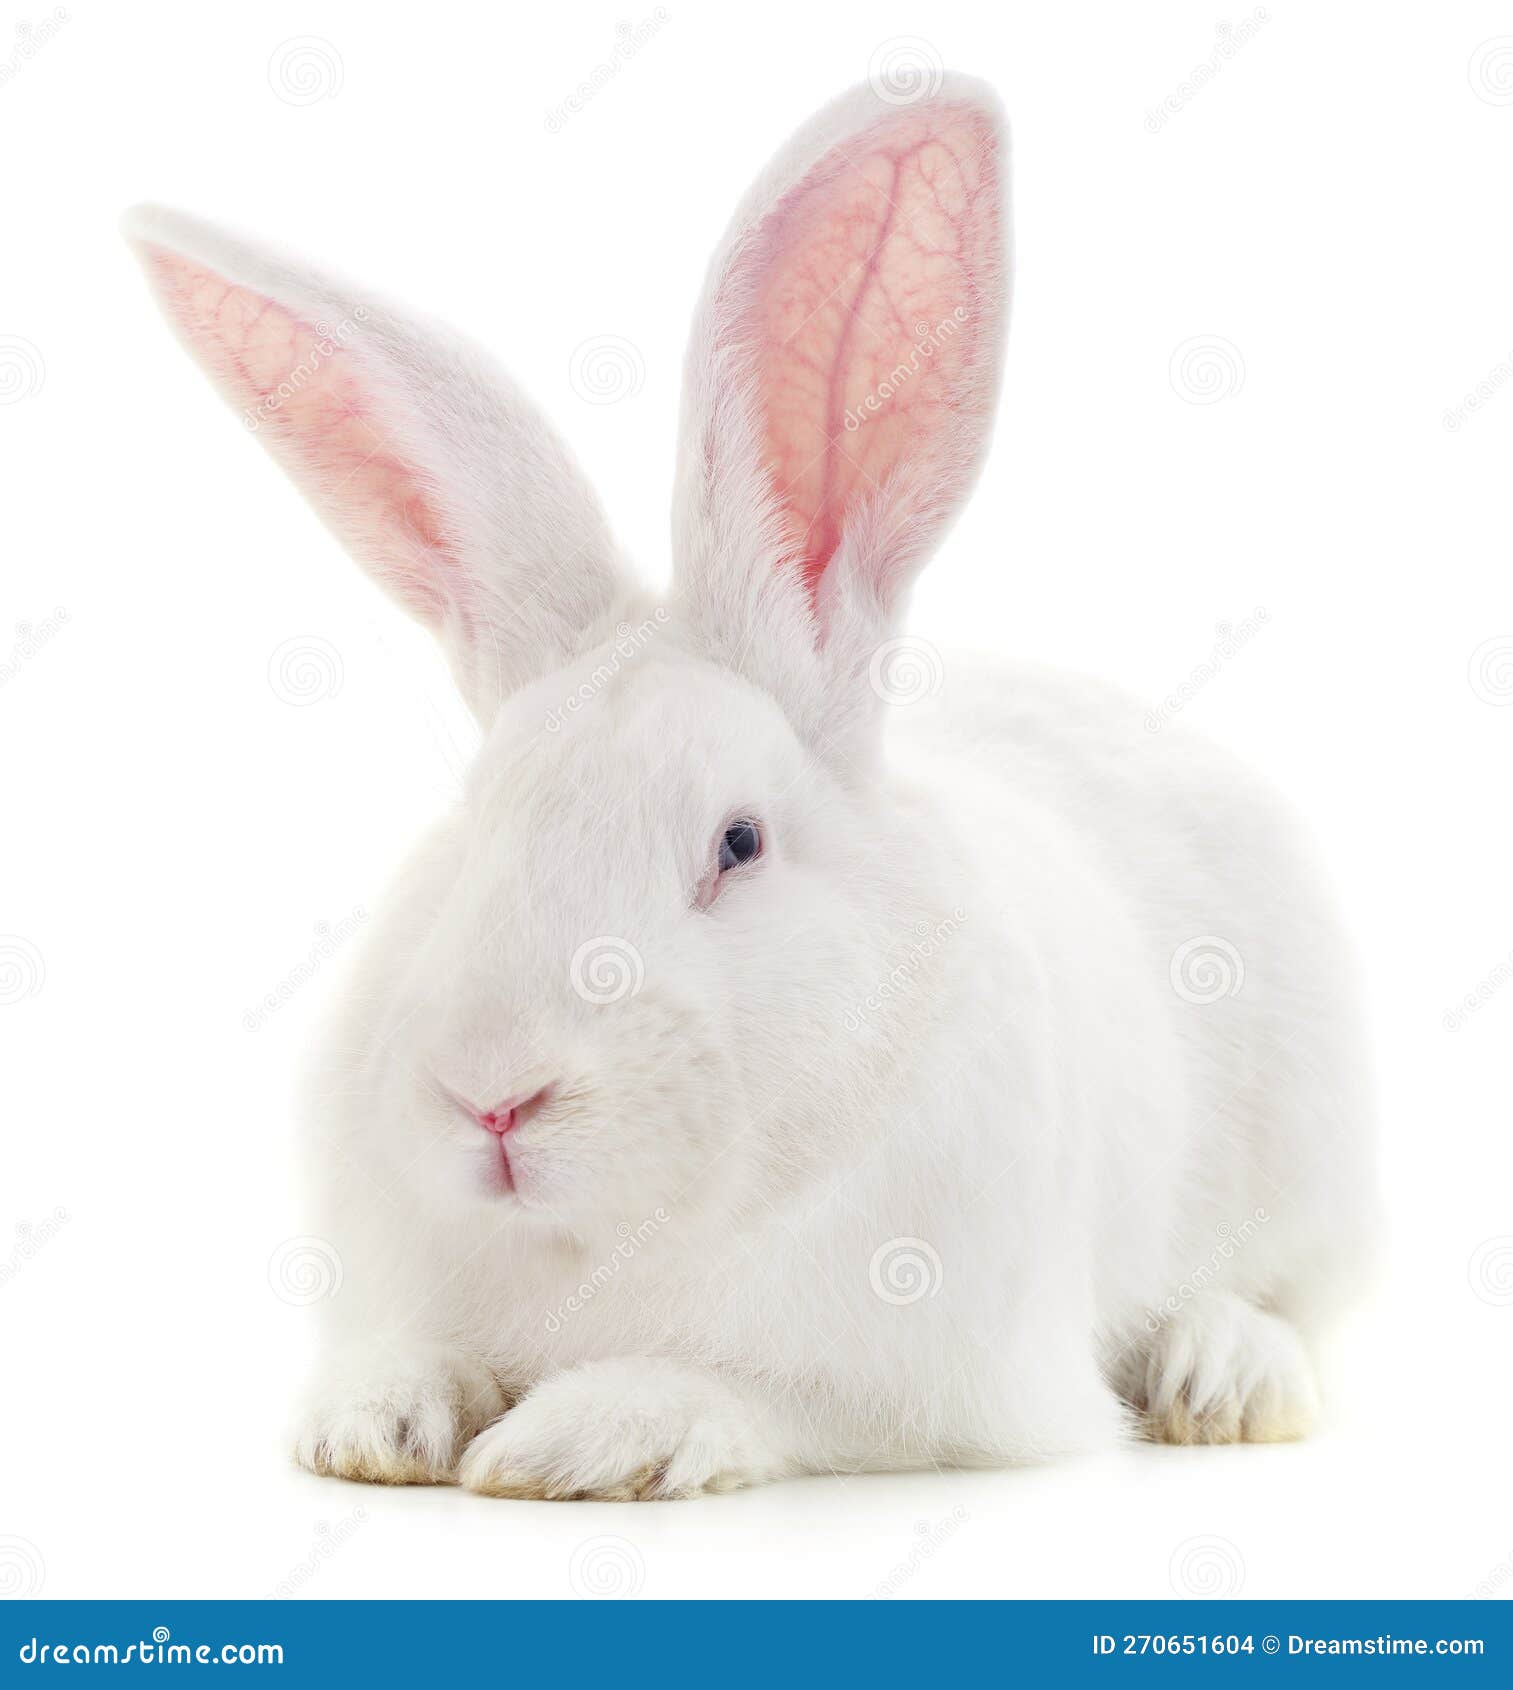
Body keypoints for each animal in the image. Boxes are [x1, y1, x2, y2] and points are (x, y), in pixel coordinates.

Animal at [125, 72, 1377, 1500]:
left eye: (738, 843)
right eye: (478, 819)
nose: (494, 1096)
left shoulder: (934, 1388)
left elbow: (766, 1399)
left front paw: (585, 1434)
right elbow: (406, 1355)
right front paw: (373, 1421)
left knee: (1284, 1304)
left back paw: (1222, 1376)